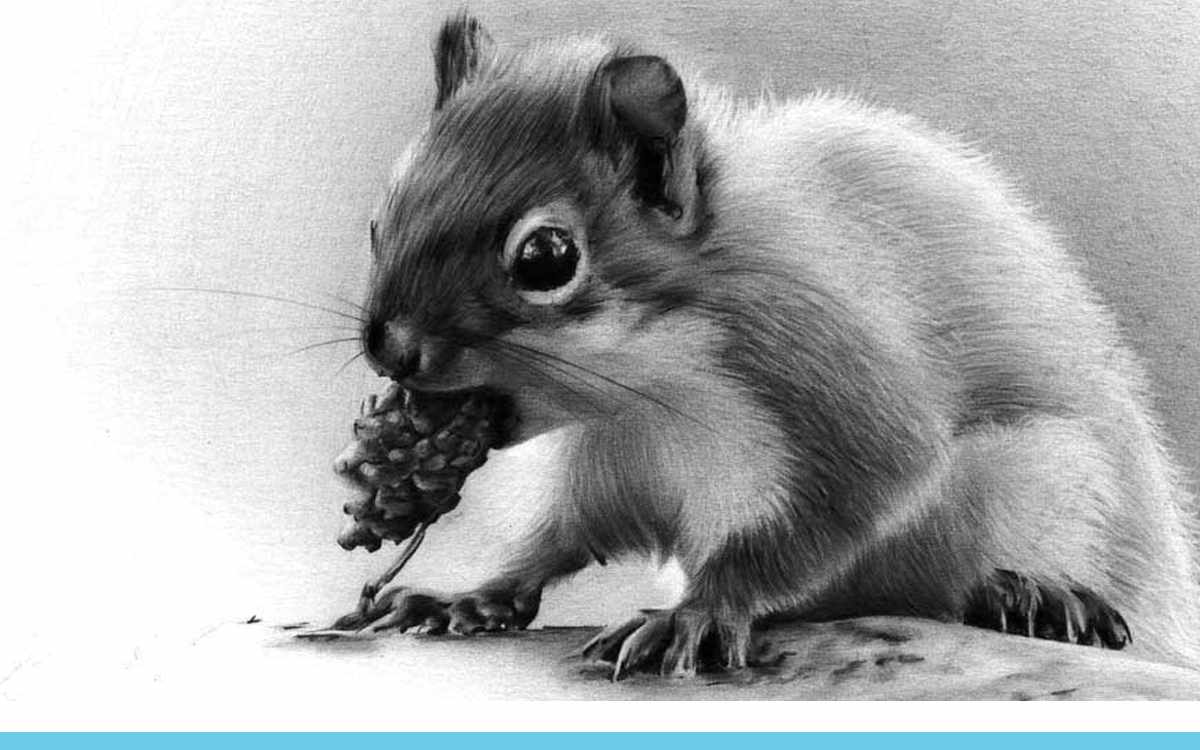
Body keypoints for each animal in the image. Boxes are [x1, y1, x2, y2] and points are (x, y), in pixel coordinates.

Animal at [353, 13, 1200, 676]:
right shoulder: (605, 462)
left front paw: (697, 612)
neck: (650, 388)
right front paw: (471, 593)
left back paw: (1042, 593)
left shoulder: (825, 370)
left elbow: (838, 505)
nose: (390, 348)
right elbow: (556, 539)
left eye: (546, 257)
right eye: (378, 221)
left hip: (1054, 482)